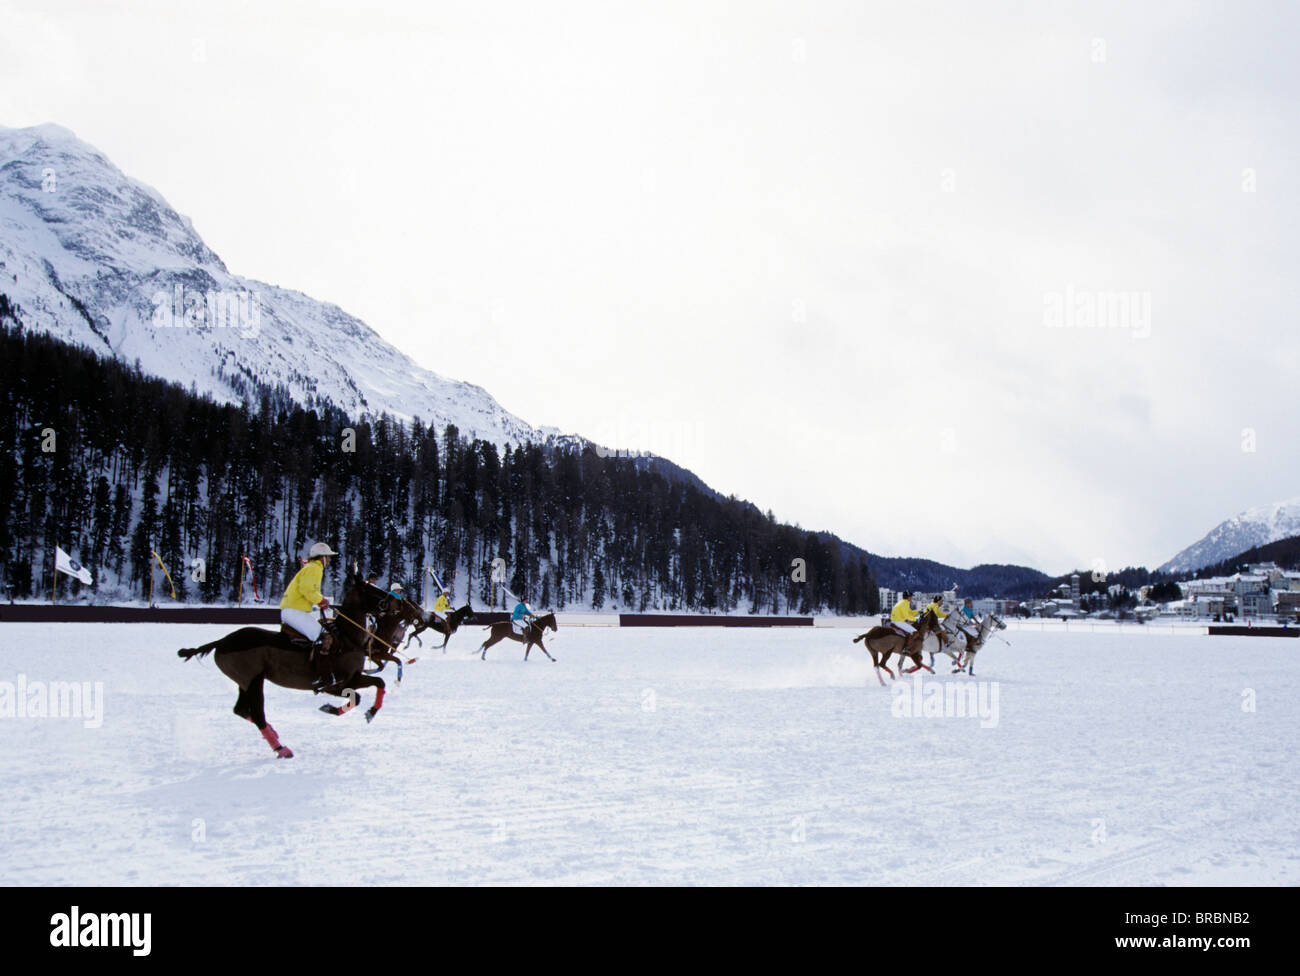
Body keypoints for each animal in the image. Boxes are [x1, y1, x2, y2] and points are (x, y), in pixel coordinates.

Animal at [176, 580, 392, 758]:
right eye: (371, 589)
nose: (391, 603)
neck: (348, 638)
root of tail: (221, 642)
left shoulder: (353, 678)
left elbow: (378, 682)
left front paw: (371, 712)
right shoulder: (334, 685)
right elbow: (356, 697)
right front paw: (329, 708)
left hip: (244, 681)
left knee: (240, 709)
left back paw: (273, 733)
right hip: (254, 680)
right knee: (257, 713)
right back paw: (282, 749)